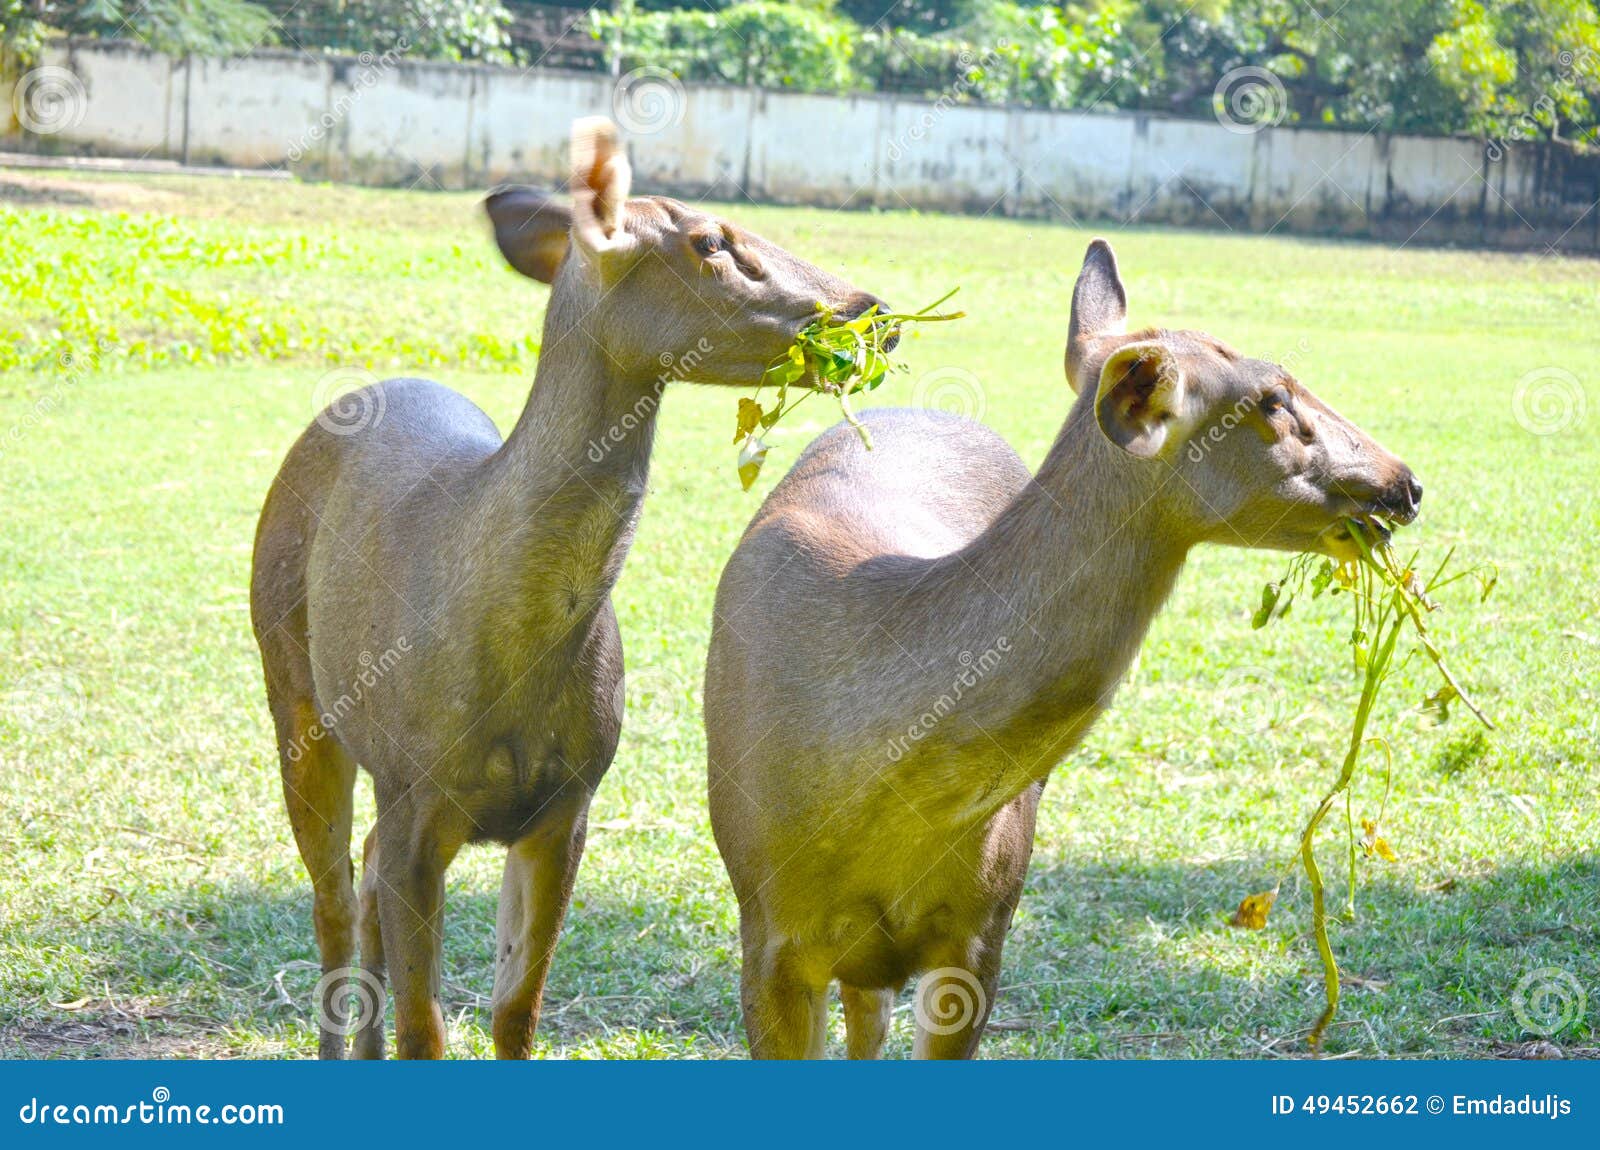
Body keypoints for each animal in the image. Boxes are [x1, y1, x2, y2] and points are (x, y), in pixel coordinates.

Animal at [249, 117, 892, 1059]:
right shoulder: (415, 791)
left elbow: (516, 1010)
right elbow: (424, 1028)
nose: (865, 308)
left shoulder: (568, 805)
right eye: (709, 242)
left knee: (355, 879)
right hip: (292, 682)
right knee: (331, 891)